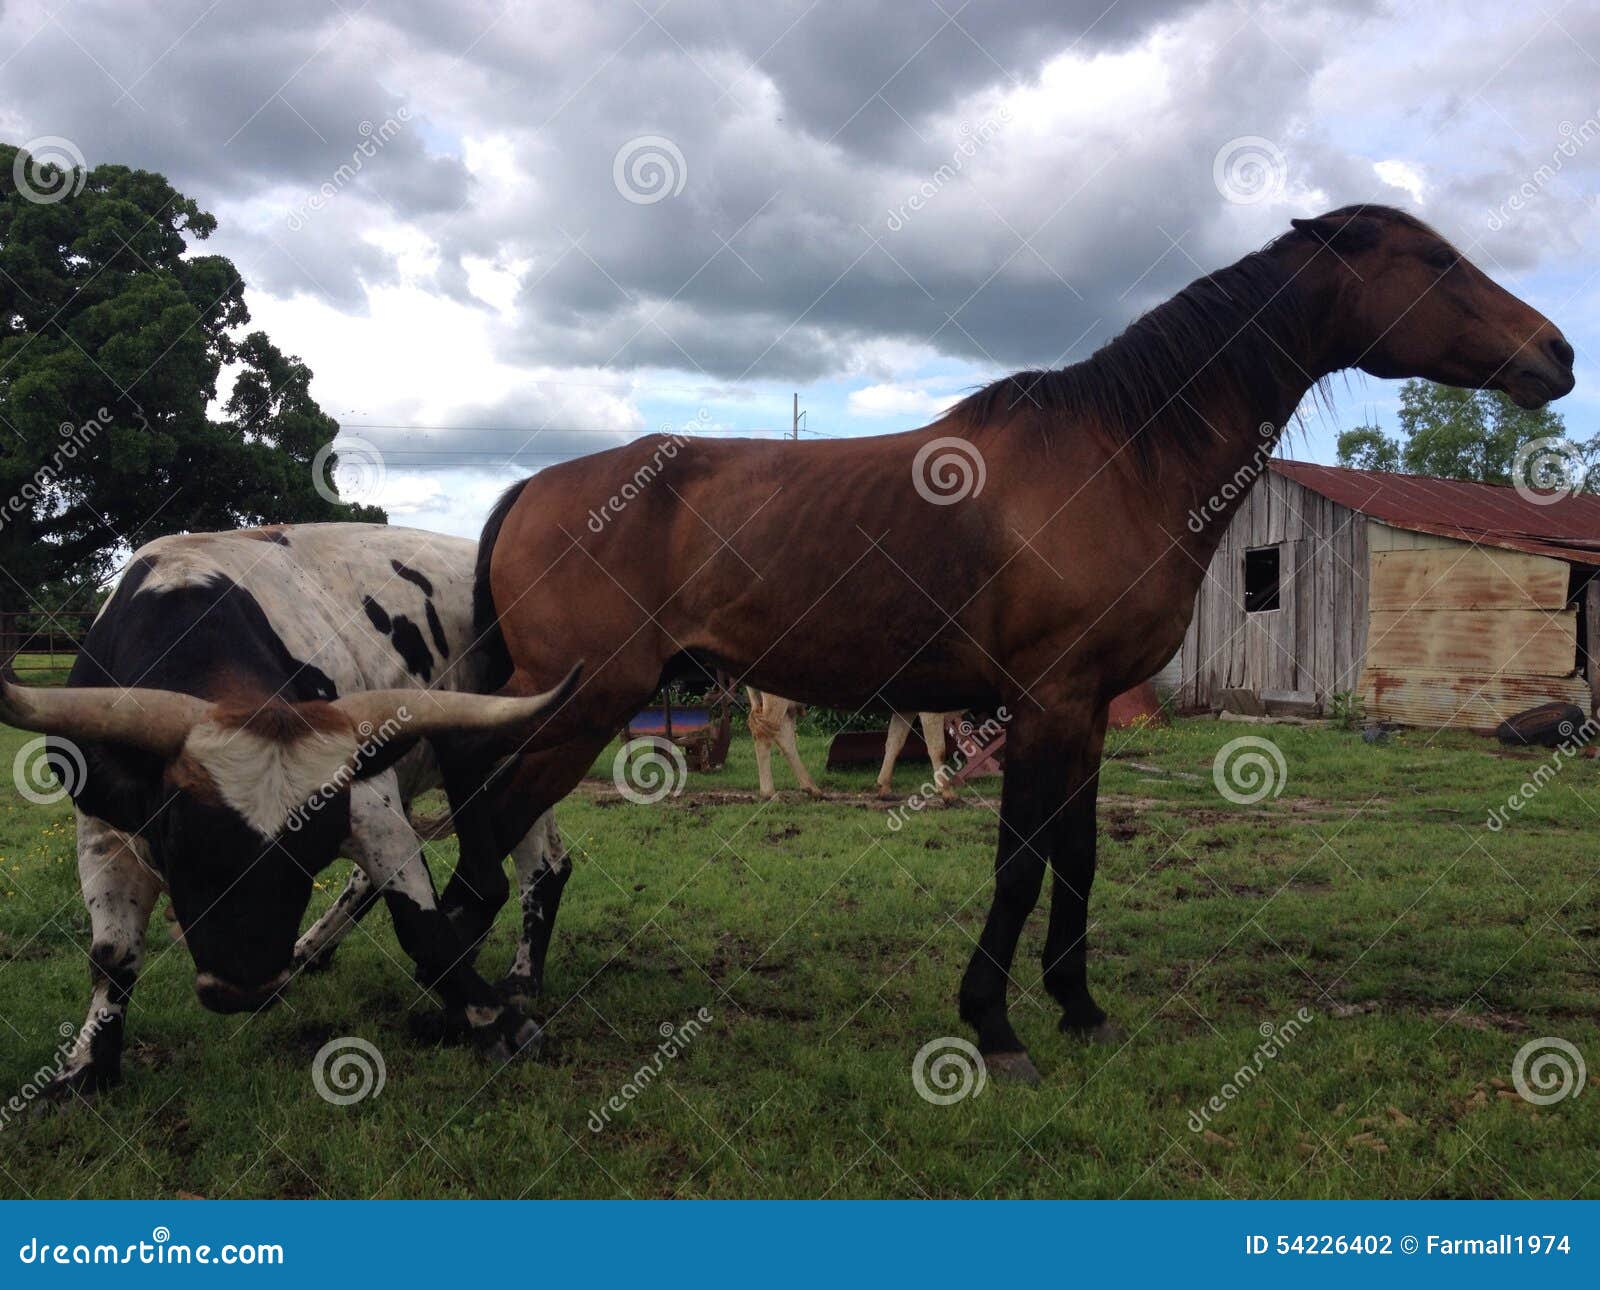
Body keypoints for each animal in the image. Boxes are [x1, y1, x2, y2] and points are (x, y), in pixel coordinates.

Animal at [0, 523, 579, 1097]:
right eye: (176, 844)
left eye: (308, 855)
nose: (245, 990)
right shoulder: (101, 826)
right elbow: (112, 955)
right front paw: (85, 1067)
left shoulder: (366, 796)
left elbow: (422, 923)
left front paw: (493, 1020)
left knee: (519, 870)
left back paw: (517, 979)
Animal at [470, 206, 1574, 1081]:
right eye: (1432, 259)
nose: (1558, 353)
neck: (1121, 458)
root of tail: (534, 488)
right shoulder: (1044, 702)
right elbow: (1021, 862)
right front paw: (994, 1027)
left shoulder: (1084, 712)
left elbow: (1076, 856)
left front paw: (1079, 1007)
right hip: (584, 699)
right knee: (492, 818)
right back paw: (482, 1010)